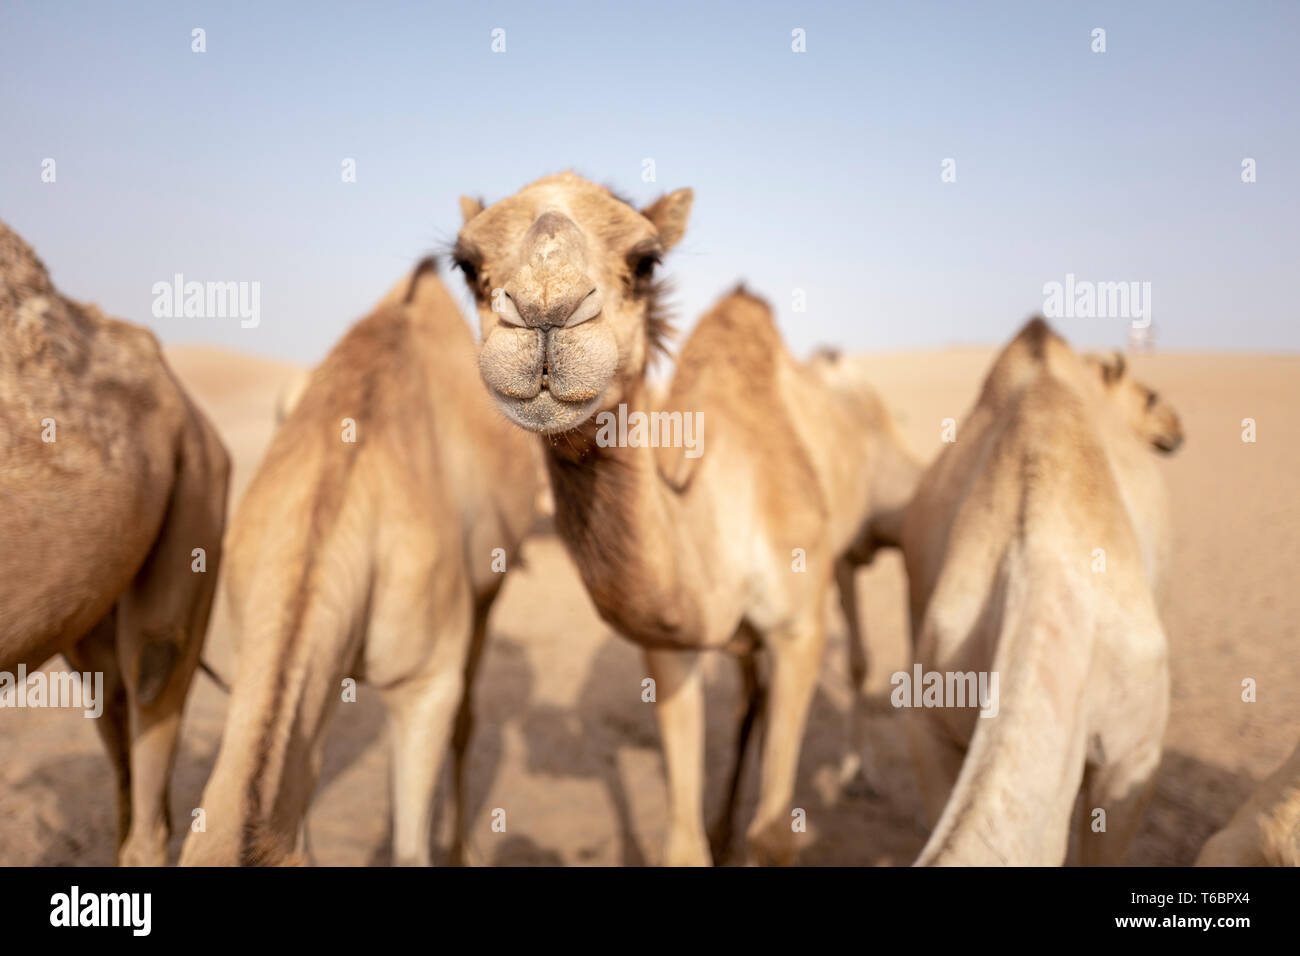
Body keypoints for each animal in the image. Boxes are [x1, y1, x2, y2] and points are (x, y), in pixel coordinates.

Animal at [456, 172, 918, 864]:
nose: (544, 312)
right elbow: (682, 841)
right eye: (466, 265)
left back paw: (857, 775)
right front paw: (713, 836)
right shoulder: (672, 648)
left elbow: (775, 832)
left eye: (647, 262)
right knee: (750, 691)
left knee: (857, 649)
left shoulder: (799, 629)